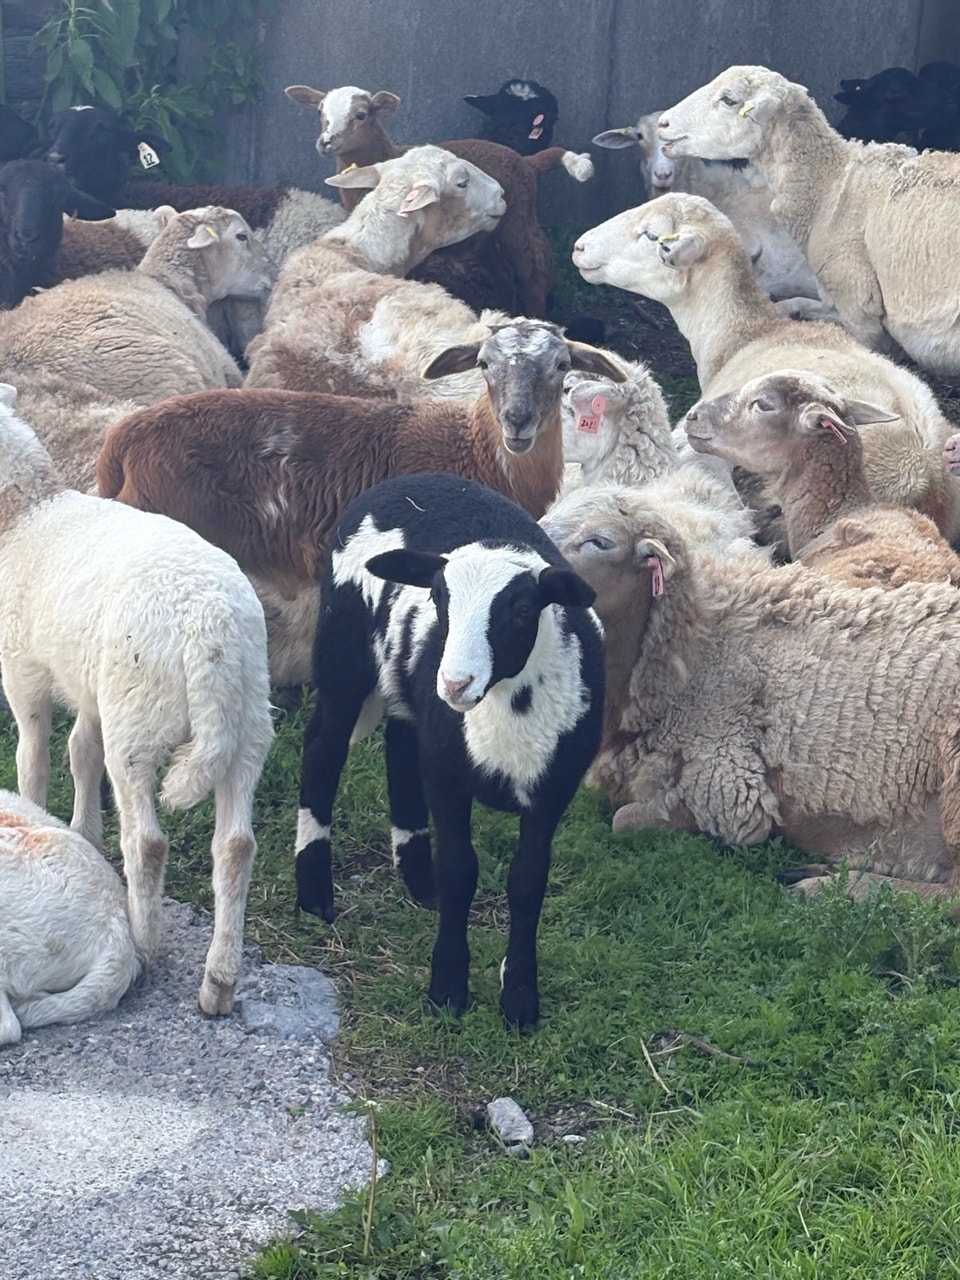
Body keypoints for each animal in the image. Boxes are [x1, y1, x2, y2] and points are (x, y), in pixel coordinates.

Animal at [0, 385, 274, 1015]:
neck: (25, 517)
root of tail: (208, 625)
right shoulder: (91, 684)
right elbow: (81, 751)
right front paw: (83, 831)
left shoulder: (22, 667)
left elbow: (35, 757)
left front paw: (37, 809)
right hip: (246, 720)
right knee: (236, 846)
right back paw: (219, 983)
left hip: (141, 715)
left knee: (148, 843)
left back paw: (146, 946)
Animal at [284, 82, 594, 316]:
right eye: (321, 112)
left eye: (361, 115)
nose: (326, 142)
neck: (385, 155)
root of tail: (527, 161)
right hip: (489, 237)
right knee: (505, 278)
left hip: (519, 223)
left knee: (534, 276)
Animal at [295, 472, 605, 1027]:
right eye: (439, 599)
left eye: (522, 609)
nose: (456, 684)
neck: (508, 706)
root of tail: (404, 481)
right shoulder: (447, 776)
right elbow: (462, 871)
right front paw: (447, 989)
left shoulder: (553, 791)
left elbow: (528, 883)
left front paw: (520, 999)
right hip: (342, 645)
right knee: (323, 748)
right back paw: (314, 894)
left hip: (408, 686)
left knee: (399, 745)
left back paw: (419, 880)